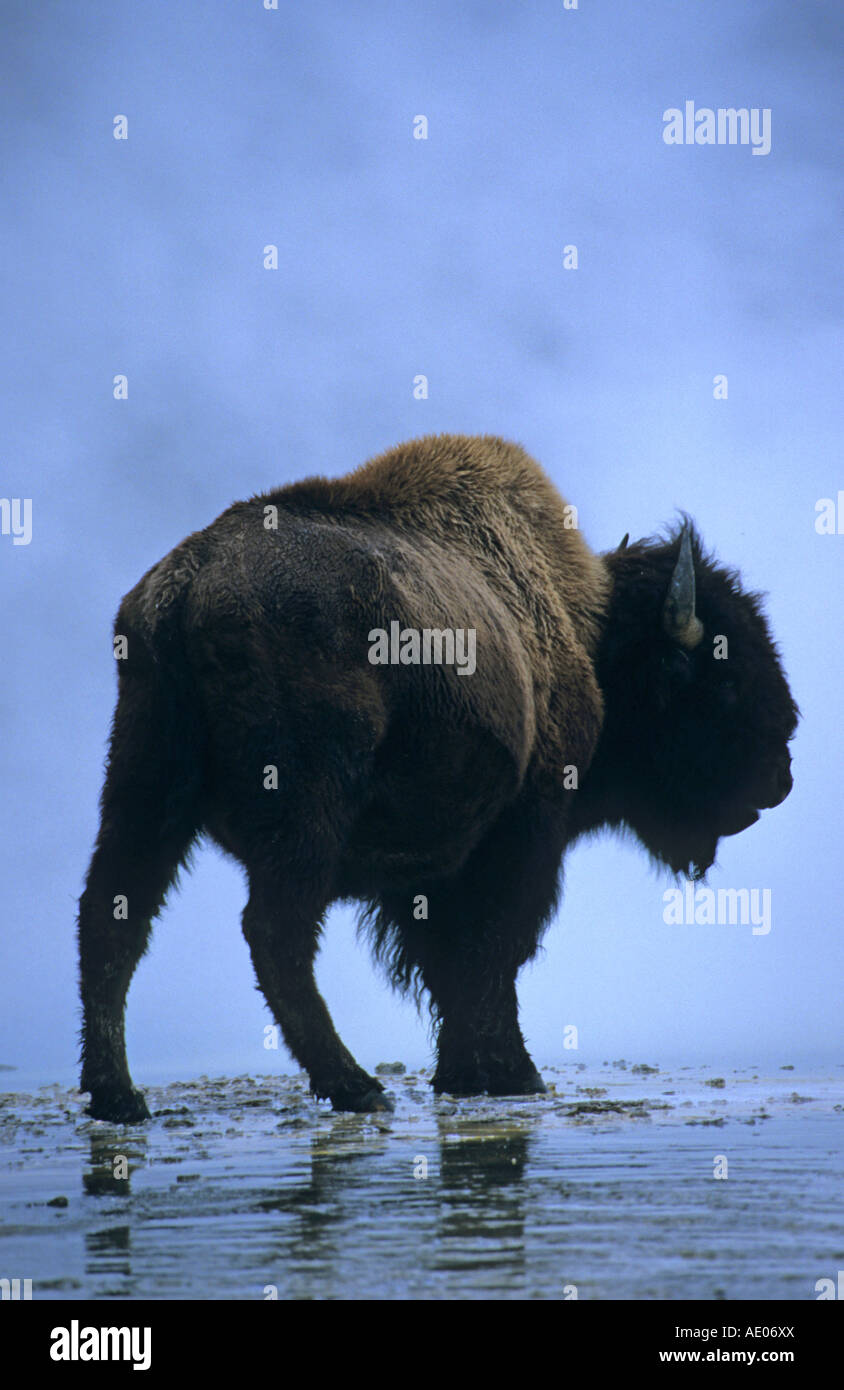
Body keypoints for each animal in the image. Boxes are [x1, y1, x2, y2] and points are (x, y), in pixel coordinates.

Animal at [78, 434, 798, 1120]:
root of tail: (189, 580)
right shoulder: (521, 833)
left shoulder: (432, 865)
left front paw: (464, 1074)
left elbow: (450, 962)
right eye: (725, 681)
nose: (782, 776)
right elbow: (490, 951)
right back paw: (355, 1086)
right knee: (274, 931)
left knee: (113, 917)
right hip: (307, 808)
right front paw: (511, 1076)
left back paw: (119, 1099)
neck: (590, 635)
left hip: (142, 782)